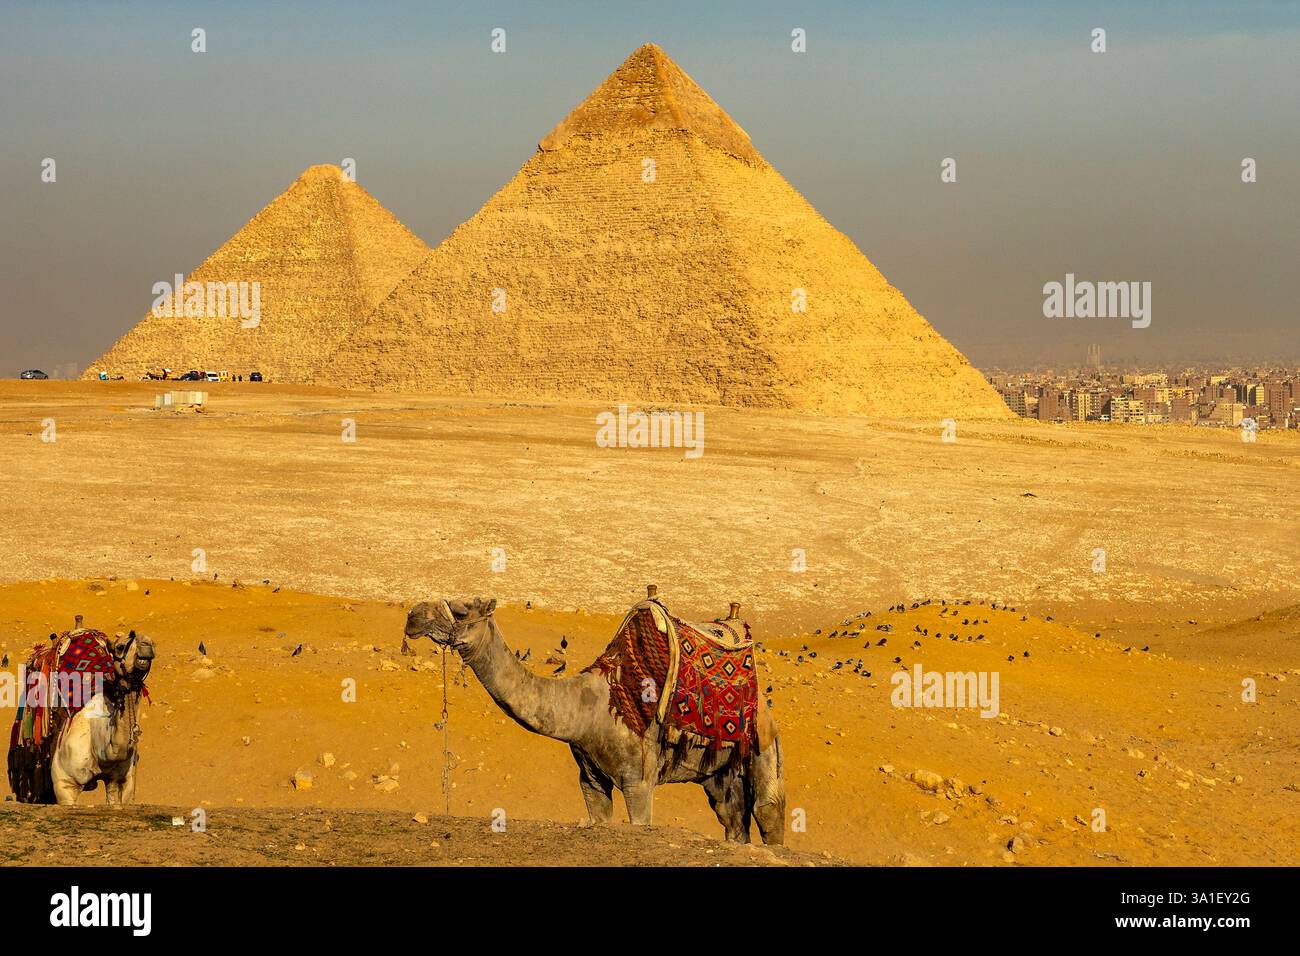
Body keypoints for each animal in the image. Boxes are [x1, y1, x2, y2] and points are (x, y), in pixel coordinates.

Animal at [405, 596, 785, 844]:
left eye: (461, 610)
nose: (412, 616)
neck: (586, 711)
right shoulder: (589, 777)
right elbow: (598, 814)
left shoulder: (638, 779)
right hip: (720, 774)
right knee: (733, 820)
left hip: (763, 744)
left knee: (768, 810)